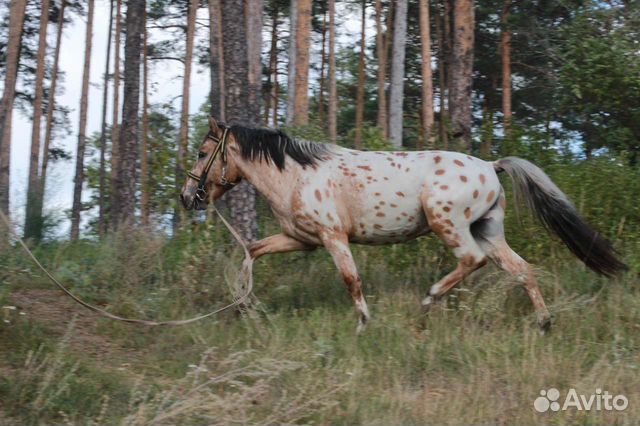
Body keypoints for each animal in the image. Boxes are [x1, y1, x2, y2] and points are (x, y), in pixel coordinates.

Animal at [181, 117, 627, 332]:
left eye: (203, 151)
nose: (188, 197)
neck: (297, 175)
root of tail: (490, 165)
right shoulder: (301, 239)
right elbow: (252, 251)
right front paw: (242, 302)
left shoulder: (333, 237)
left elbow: (351, 280)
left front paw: (363, 324)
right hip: (489, 230)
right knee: (520, 269)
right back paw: (544, 323)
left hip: (450, 225)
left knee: (473, 260)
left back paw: (428, 301)